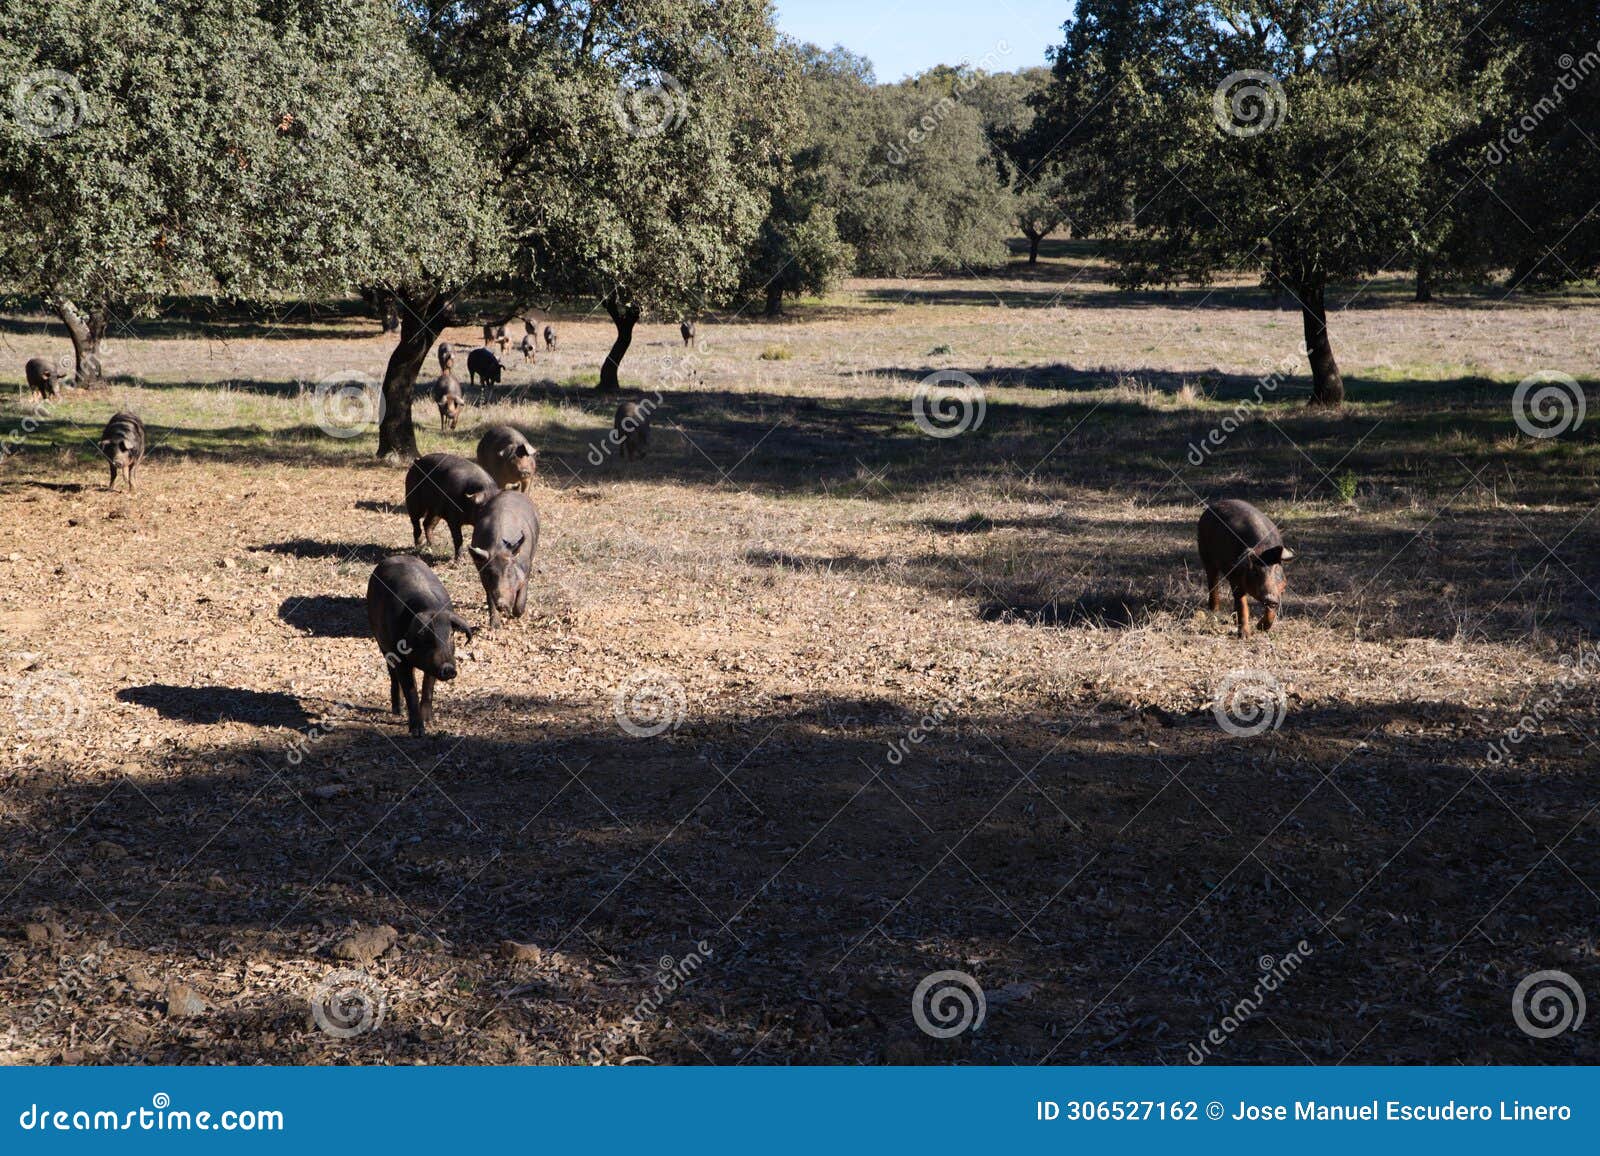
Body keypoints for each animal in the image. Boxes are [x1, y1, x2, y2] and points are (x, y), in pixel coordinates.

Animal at [366, 555, 473, 736]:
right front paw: (417, 731)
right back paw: (398, 711)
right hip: (381, 642)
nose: (448, 668)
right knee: (393, 675)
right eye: (426, 638)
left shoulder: (432, 665)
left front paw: (429, 721)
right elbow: (410, 689)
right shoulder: (399, 656)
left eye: (450, 635)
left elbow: (427, 686)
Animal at [468, 491, 540, 628]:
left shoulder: (526, 569)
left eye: (509, 571)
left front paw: (515, 615)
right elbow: (490, 597)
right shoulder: (484, 577)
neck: (498, 548)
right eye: (490, 573)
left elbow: (521, 597)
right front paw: (495, 626)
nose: (502, 603)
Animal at [1197, 499, 1296, 638]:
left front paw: (1260, 628)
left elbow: (1272, 609)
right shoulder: (1236, 580)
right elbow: (1242, 605)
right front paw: (1245, 636)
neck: (1263, 548)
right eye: (1255, 570)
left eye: (1277, 568)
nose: (1270, 597)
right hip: (1206, 556)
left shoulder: (1280, 589)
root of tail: (1210, 507)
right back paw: (1214, 610)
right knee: (1213, 582)